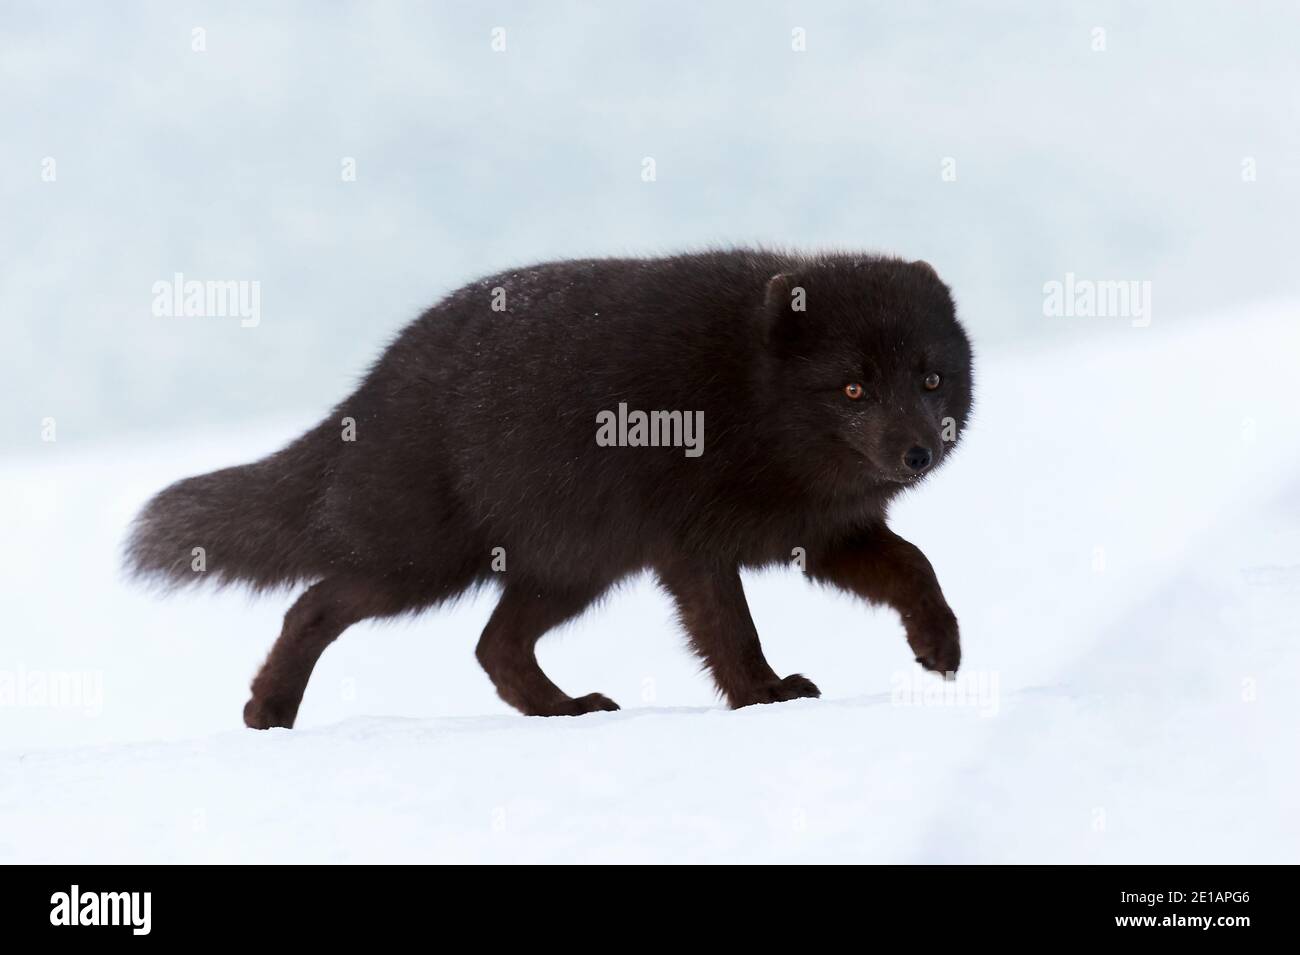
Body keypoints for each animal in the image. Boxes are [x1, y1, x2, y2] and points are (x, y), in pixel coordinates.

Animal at [126, 250, 974, 726]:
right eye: (854, 388)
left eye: (930, 378)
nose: (918, 452)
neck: (749, 400)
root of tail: (369, 386)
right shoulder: (692, 551)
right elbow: (733, 634)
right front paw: (762, 699)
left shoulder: (827, 535)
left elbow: (918, 566)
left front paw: (940, 645)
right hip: (424, 568)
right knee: (313, 603)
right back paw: (268, 709)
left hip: (573, 570)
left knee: (493, 645)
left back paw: (564, 710)